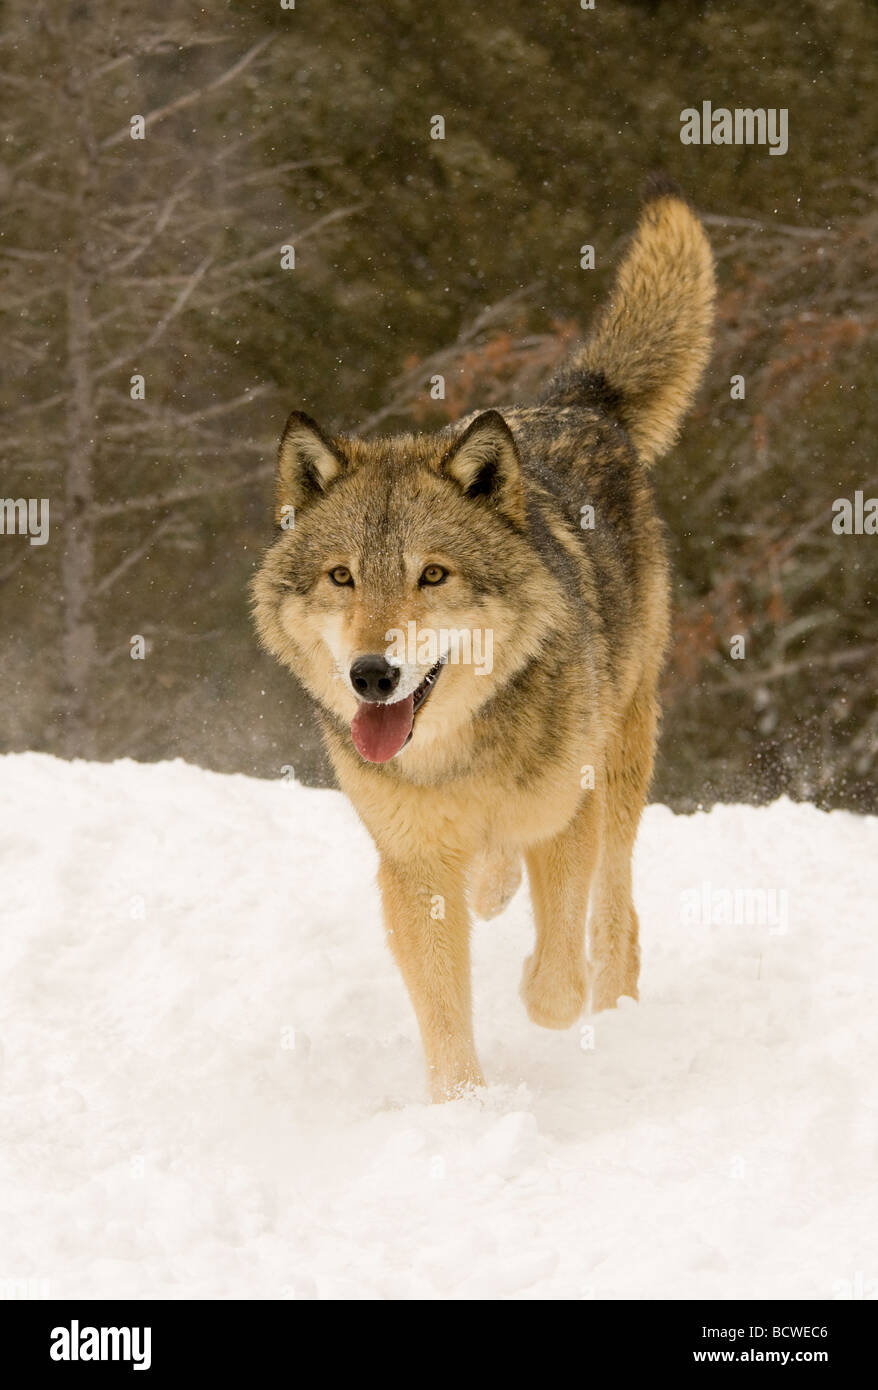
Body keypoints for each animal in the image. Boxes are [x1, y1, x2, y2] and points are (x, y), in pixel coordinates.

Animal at [252, 178, 715, 1101]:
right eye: (343, 577)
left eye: (432, 576)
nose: (371, 675)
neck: (457, 751)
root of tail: (576, 400)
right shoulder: (413, 866)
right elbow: (443, 1009)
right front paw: (462, 1110)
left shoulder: (566, 816)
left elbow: (554, 984)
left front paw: (548, 999)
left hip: (623, 755)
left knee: (615, 907)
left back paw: (614, 996)